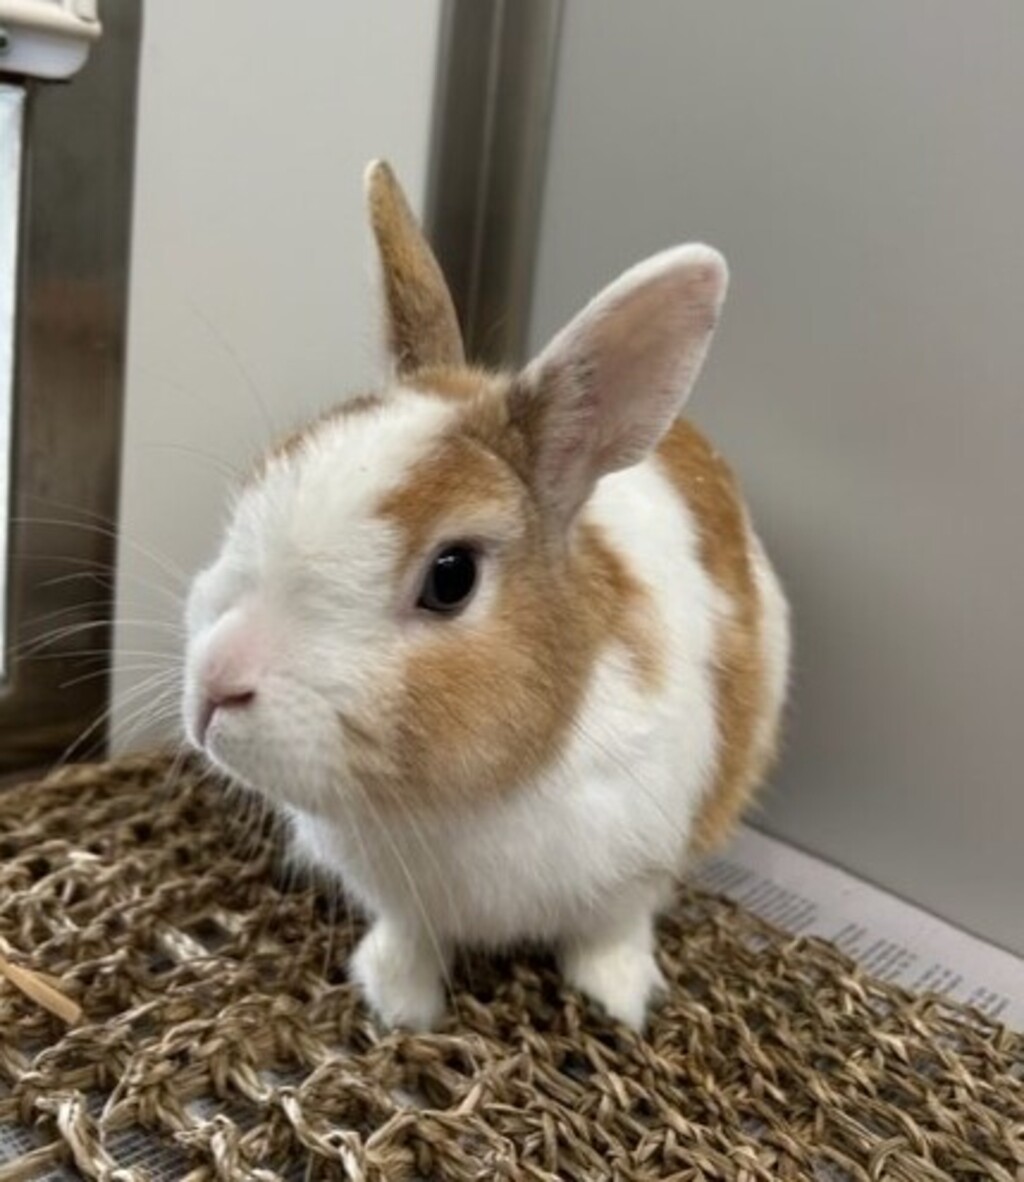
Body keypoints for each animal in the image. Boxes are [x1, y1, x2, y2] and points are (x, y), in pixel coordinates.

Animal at [182, 160, 791, 1032]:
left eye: (451, 577)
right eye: (265, 476)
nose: (214, 683)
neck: (459, 800)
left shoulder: (637, 866)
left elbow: (612, 928)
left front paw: (618, 1000)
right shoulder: (403, 900)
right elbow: (411, 933)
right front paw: (399, 1003)